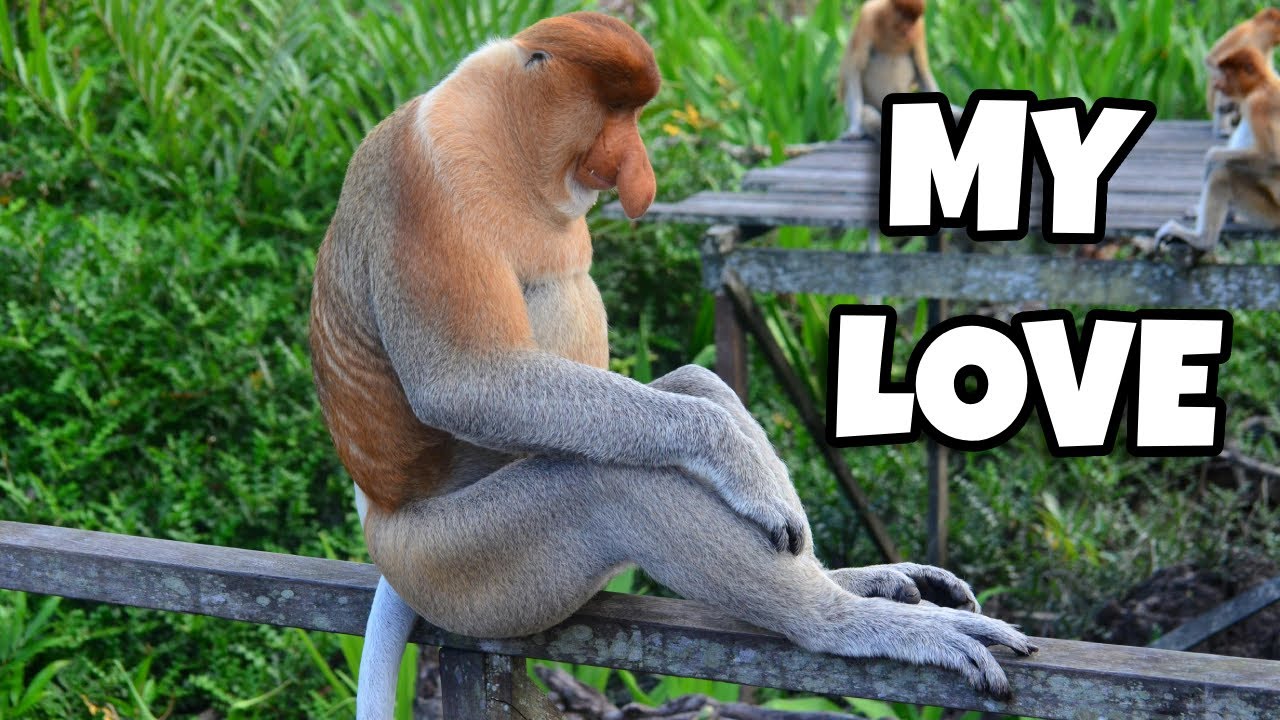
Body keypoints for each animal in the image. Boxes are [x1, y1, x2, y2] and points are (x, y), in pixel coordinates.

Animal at [838, 0, 957, 141]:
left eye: (913, 20)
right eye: (906, 18)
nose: (910, 31)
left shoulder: (919, 28)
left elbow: (921, 70)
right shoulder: (867, 18)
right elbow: (854, 71)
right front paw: (854, 129)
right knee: (867, 113)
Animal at [1157, 46, 1280, 253]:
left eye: (1226, 73)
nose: (1215, 83)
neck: (1260, 85)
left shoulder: (1258, 104)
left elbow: (1272, 157)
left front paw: (1211, 156)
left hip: (1270, 214)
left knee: (1222, 175)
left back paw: (1201, 240)